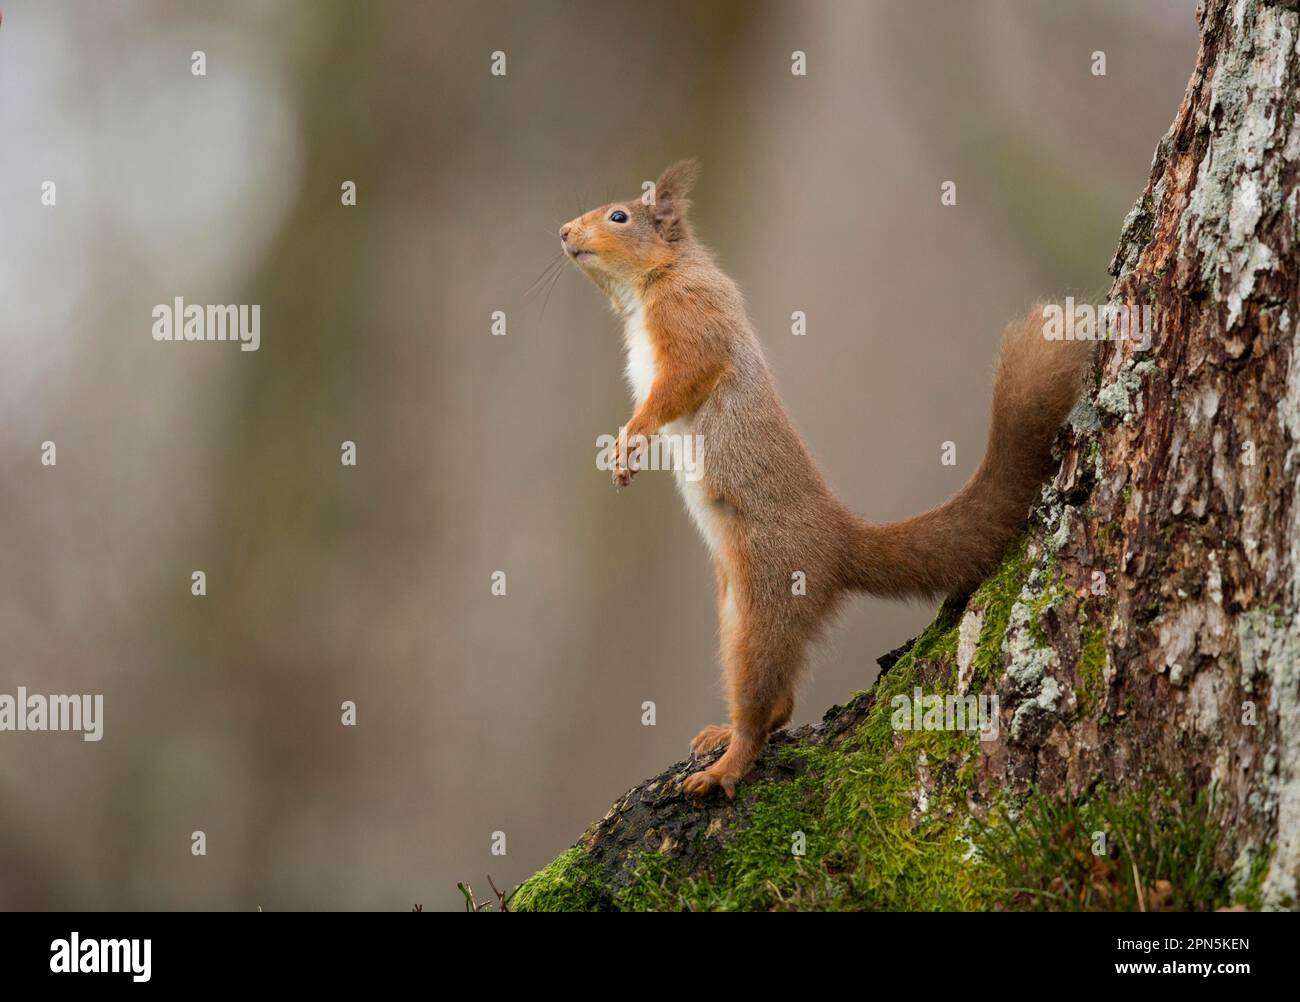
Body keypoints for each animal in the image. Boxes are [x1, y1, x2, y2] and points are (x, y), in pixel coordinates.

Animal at [560, 160, 1092, 798]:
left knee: (763, 705)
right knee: (780, 703)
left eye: (619, 216)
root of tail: (840, 541)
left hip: (768, 598)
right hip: (735, 609)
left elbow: (683, 380)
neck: (652, 284)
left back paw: (725, 765)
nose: (564, 232)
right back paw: (722, 734)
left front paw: (630, 440)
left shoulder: (693, 320)